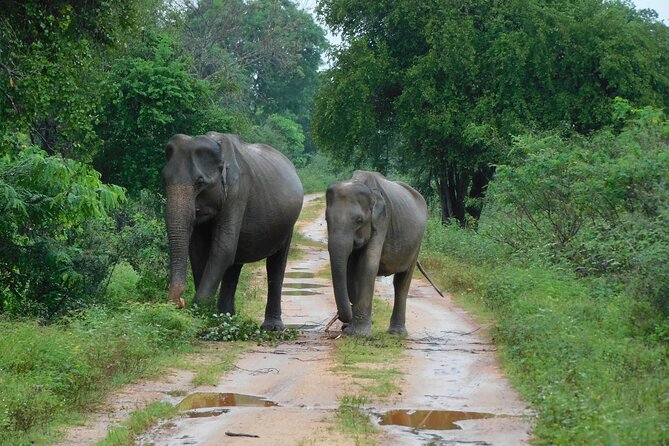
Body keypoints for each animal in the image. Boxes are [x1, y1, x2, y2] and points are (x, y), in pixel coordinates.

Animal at [162, 132, 303, 330]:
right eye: (164, 179)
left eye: (200, 182)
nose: (180, 302)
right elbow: (198, 252)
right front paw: (206, 314)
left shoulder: (238, 191)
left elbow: (222, 249)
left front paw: (200, 312)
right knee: (235, 264)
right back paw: (227, 318)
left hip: (288, 223)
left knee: (276, 263)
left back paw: (271, 328)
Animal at [326, 170, 428, 337]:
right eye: (326, 219)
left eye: (359, 220)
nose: (340, 319)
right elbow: (350, 270)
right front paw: (349, 330)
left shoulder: (382, 222)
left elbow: (367, 266)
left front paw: (359, 334)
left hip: (417, 243)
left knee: (402, 282)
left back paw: (397, 333)